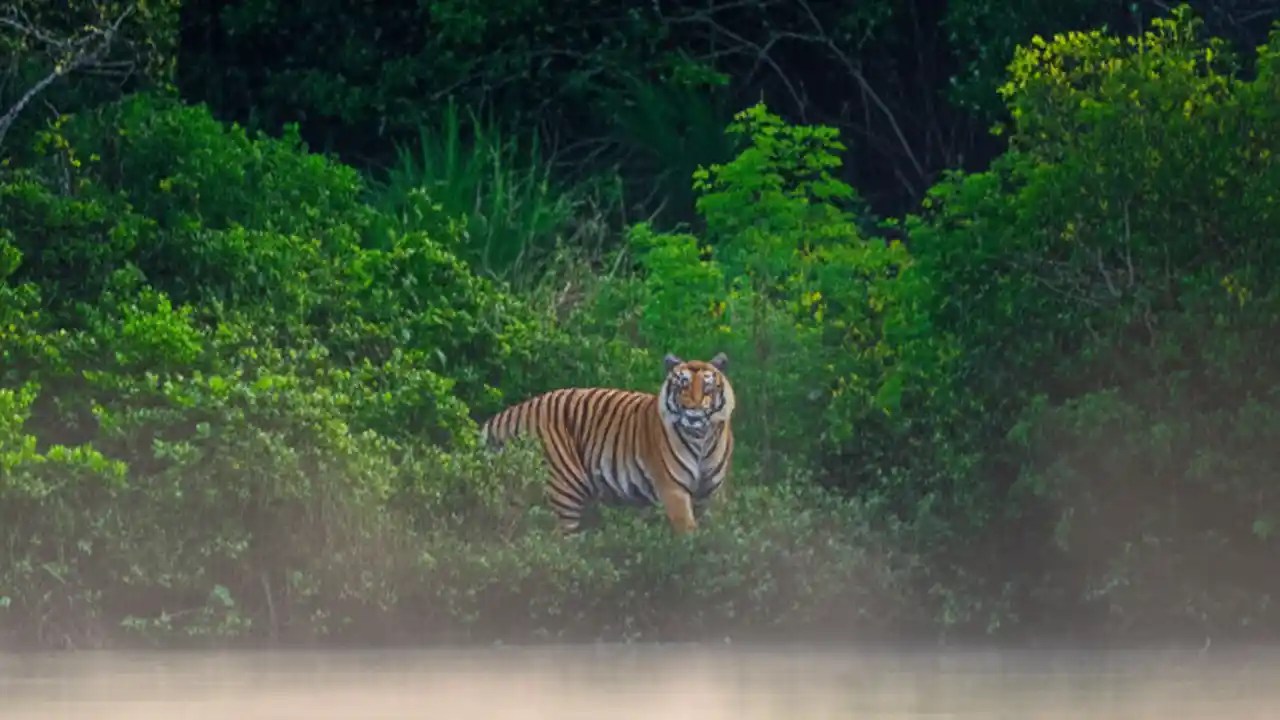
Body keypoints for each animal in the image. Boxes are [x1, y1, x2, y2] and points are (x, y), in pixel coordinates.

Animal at [479, 353, 735, 534]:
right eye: (682, 386)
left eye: (707, 388)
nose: (692, 410)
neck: (701, 437)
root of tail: (513, 412)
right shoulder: (674, 491)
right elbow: (689, 535)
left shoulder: (713, 492)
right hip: (564, 487)